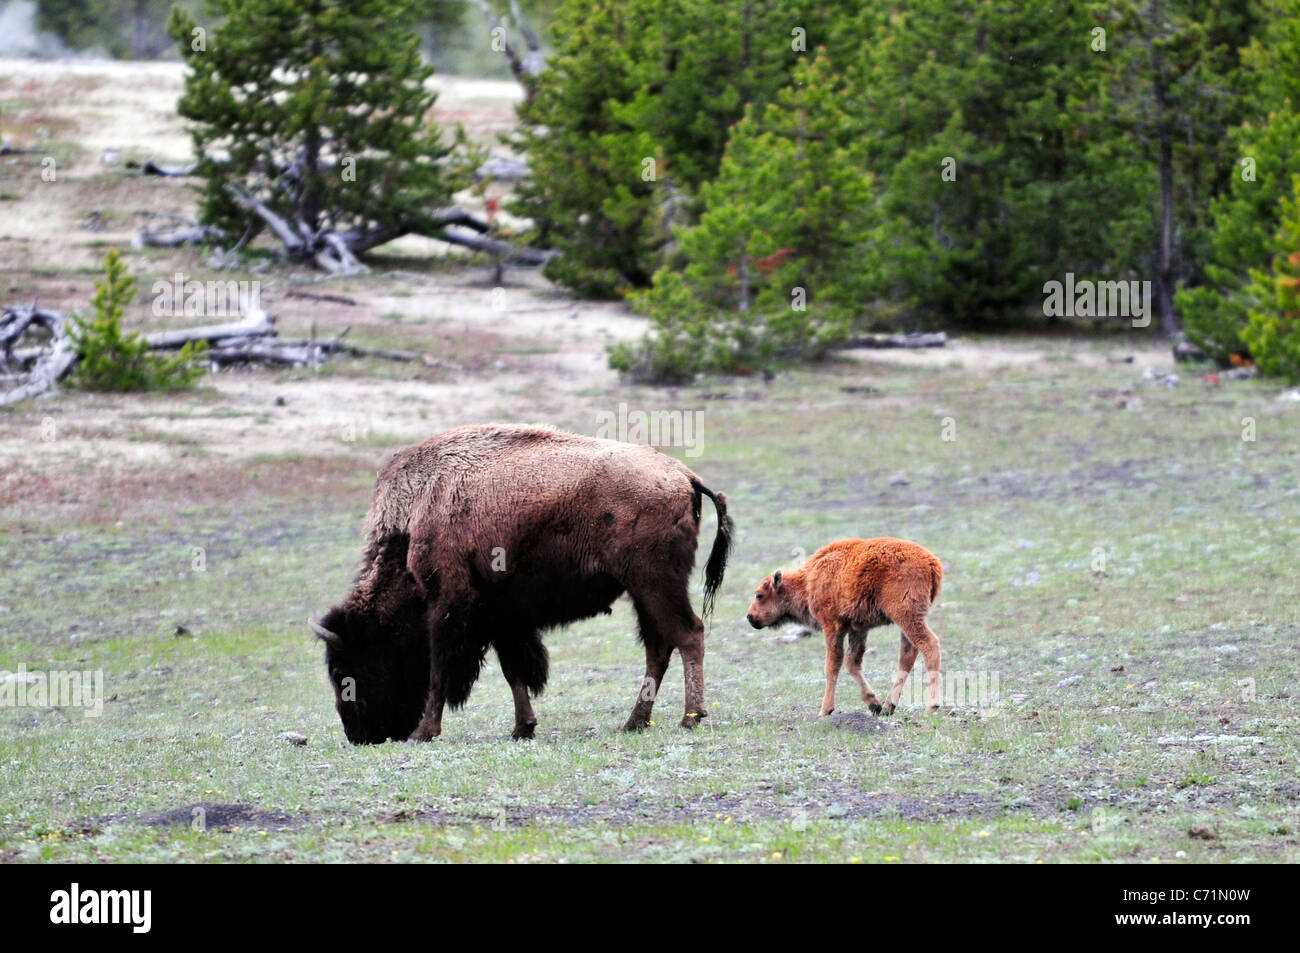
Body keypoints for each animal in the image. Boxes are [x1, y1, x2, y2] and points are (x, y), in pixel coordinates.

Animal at [311, 424, 732, 743]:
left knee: (688, 634)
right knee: (659, 647)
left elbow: (440, 671)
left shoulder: (449, 606)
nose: (359, 735)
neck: (416, 518)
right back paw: (634, 723)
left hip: (654, 583)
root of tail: (683, 475)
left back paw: (690, 717)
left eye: (346, 668)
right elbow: (513, 670)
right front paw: (522, 728)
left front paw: (424, 732)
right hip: (643, 591)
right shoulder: (501, 616)